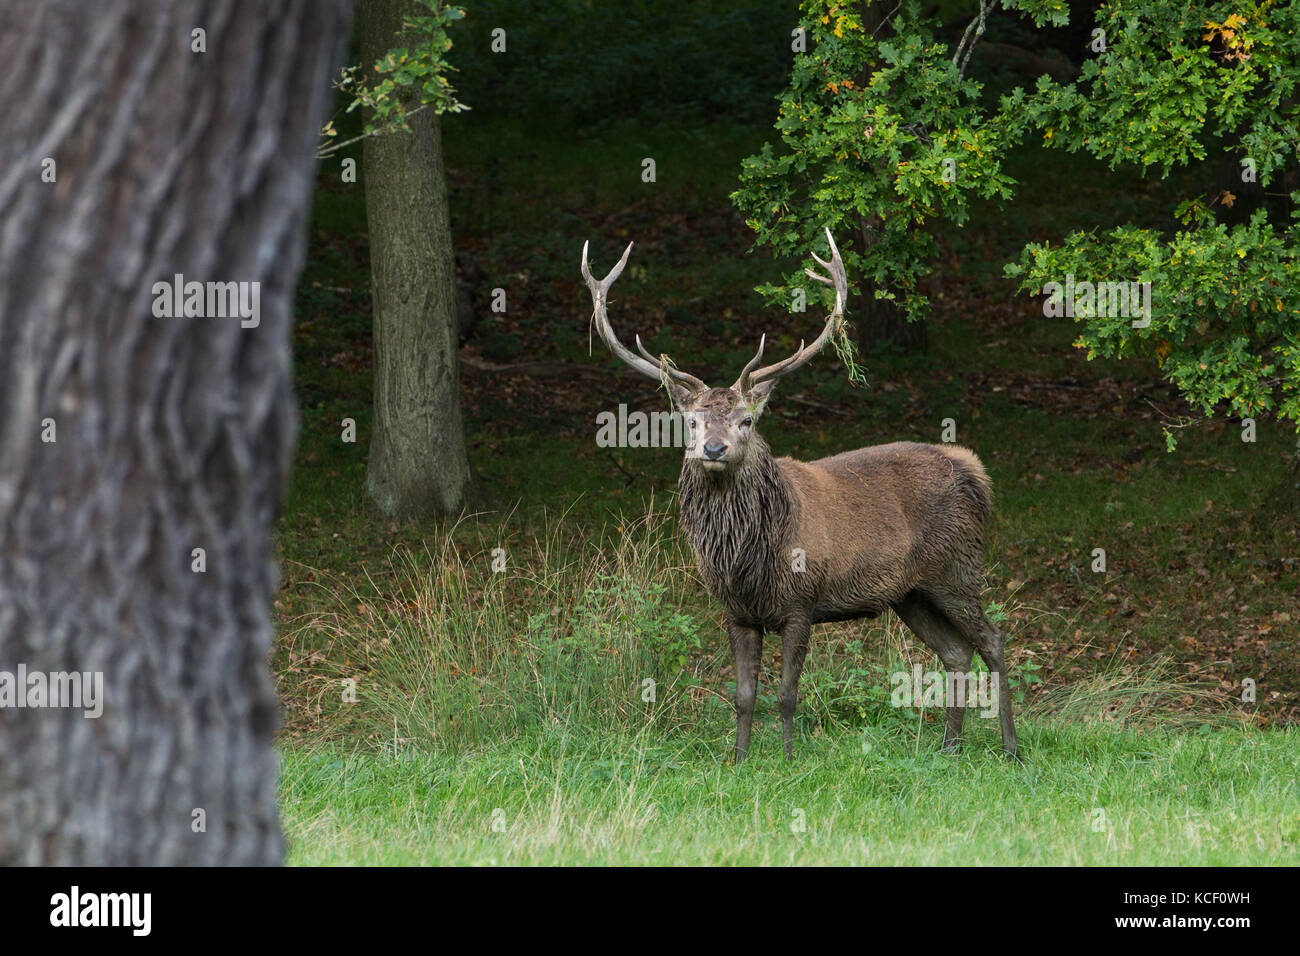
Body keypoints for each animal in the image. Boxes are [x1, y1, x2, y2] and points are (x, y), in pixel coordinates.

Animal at [580, 231, 1019, 763]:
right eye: (692, 421)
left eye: (747, 420)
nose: (714, 449)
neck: (748, 556)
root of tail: (976, 471)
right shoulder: (736, 612)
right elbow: (744, 696)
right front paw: (739, 760)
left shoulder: (800, 602)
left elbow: (787, 696)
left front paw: (789, 759)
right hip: (912, 592)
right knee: (955, 652)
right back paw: (949, 748)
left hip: (957, 567)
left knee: (993, 641)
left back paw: (1012, 749)